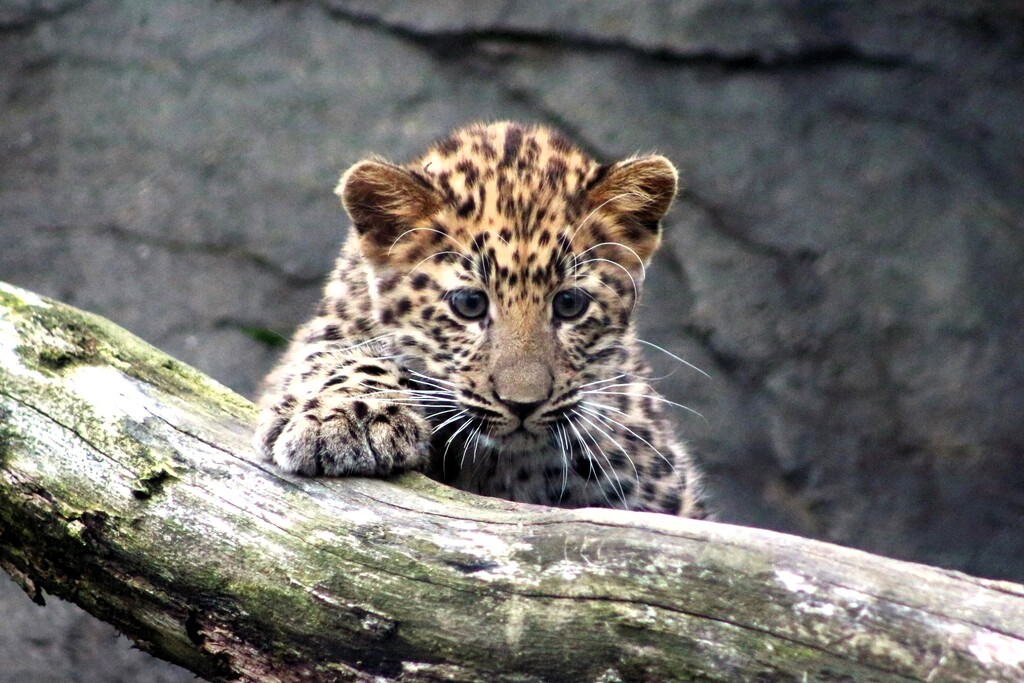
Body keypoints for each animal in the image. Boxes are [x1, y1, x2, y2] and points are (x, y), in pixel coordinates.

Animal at [254, 121, 706, 517]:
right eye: (470, 303)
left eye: (570, 304)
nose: (523, 405)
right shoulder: (329, 331)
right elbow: (346, 356)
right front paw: (342, 420)